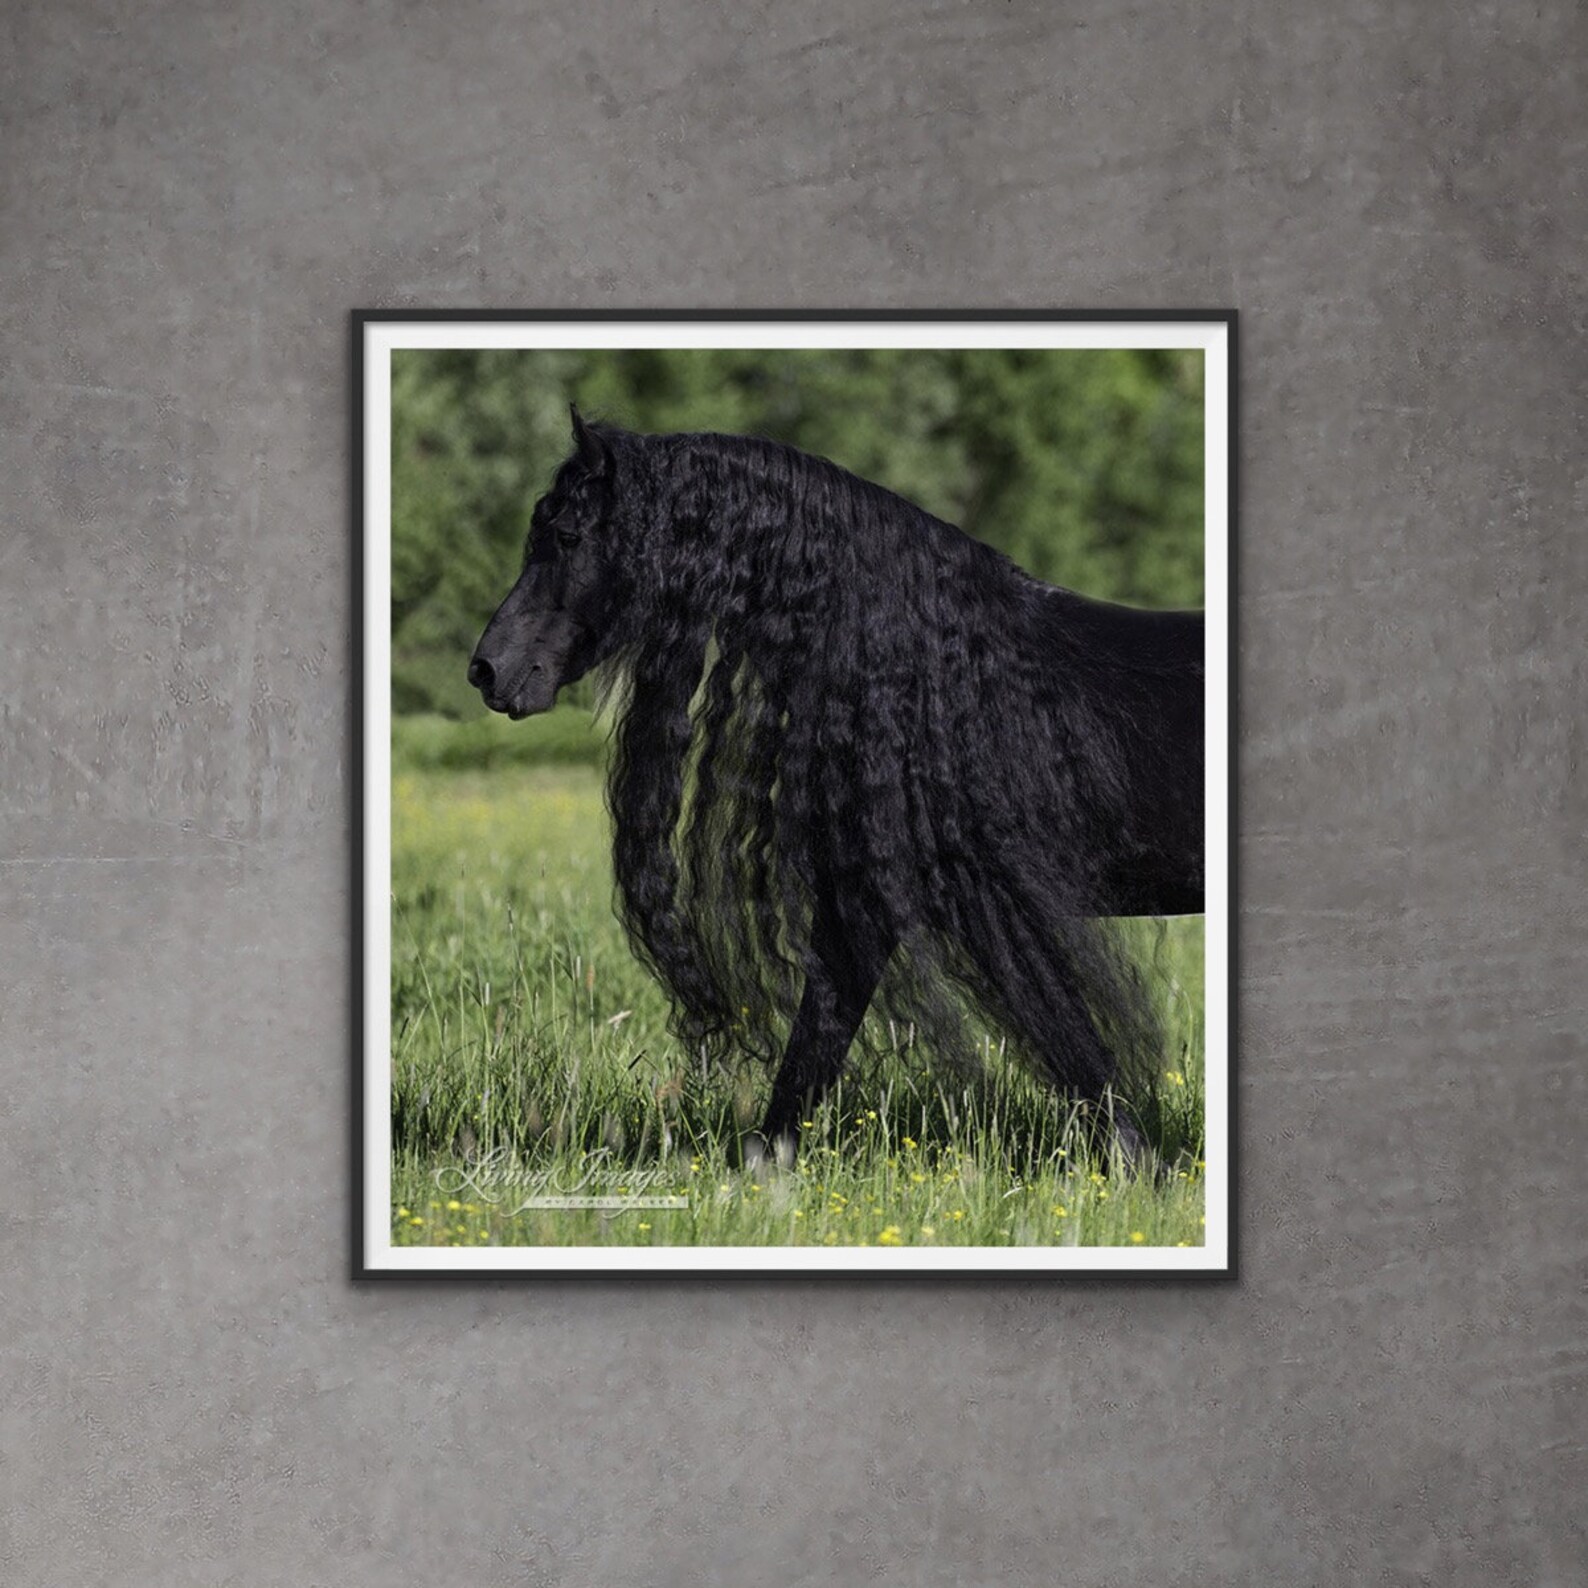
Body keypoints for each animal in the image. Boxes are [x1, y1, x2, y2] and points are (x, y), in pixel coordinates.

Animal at [469, 408, 1204, 1164]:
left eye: (568, 535)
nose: (487, 670)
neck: (923, 680)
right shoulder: (863, 906)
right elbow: (815, 1046)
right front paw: (759, 1173)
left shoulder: (969, 903)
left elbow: (1068, 1042)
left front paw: (1138, 1166)